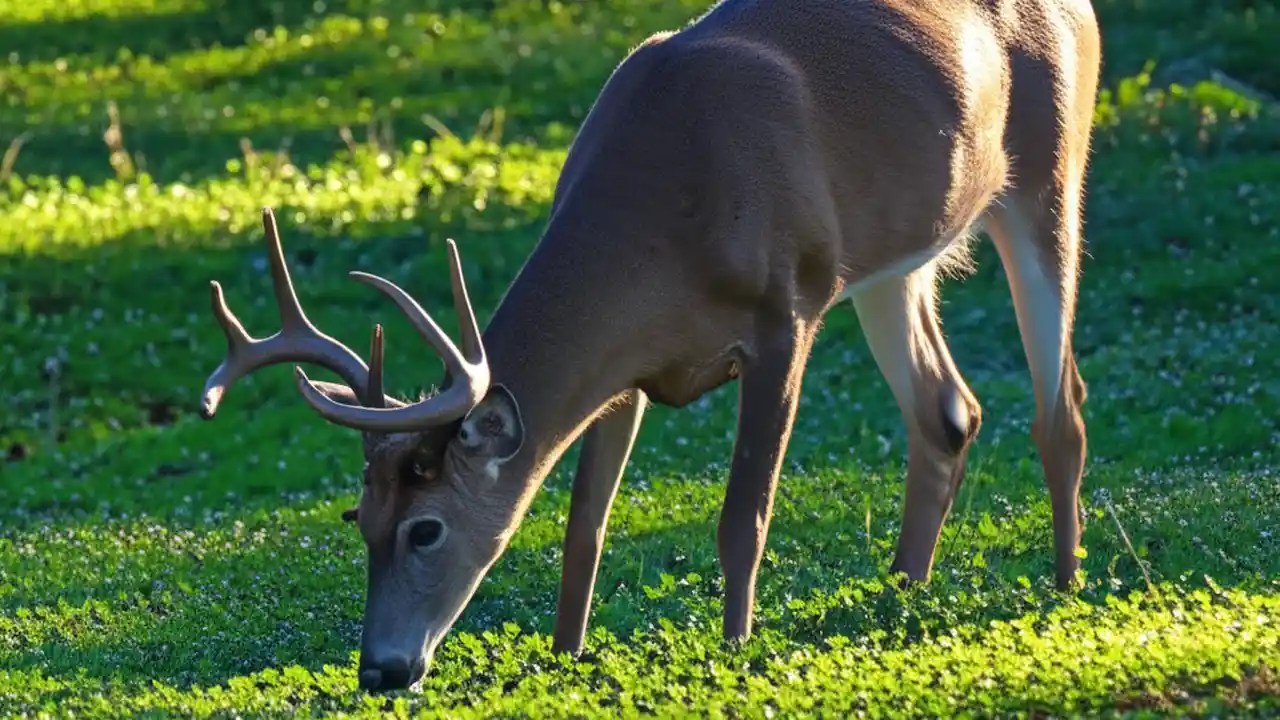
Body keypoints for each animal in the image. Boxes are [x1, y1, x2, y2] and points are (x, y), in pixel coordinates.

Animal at [197, 0, 1101, 691]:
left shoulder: (788, 311)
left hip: (1049, 176)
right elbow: (581, 530)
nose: (382, 670)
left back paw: (1065, 586)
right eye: (361, 518)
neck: (668, 218)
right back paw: (902, 593)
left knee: (1062, 407)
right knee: (948, 412)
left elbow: (744, 515)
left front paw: (735, 650)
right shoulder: (624, 371)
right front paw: (564, 660)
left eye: (426, 529)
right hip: (894, 261)